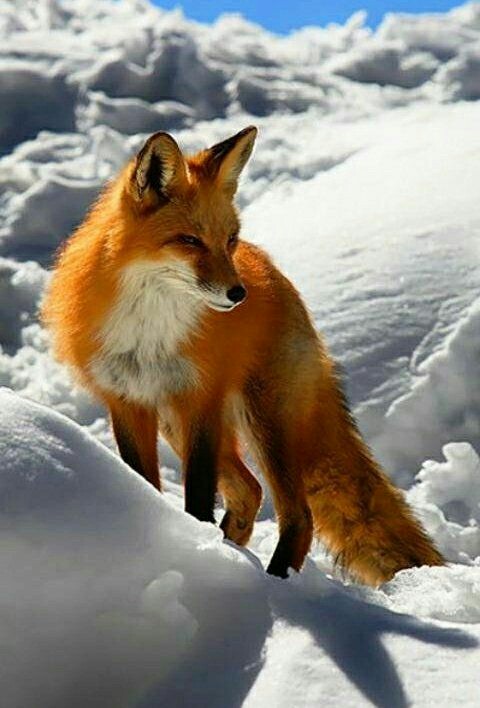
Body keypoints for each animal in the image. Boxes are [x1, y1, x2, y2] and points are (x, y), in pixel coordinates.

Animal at [42, 125, 444, 585]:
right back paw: (235, 551)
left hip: (265, 421)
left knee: (298, 515)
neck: (150, 327)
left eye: (228, 239)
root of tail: (281, 280)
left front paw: (198, 552)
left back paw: (274, 580)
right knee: (250, 492)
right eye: (190, 241)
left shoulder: (200, 399)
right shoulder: (127, 401)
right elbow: (143, 481)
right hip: (179, 423)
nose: (238, 295)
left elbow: (198, 496)